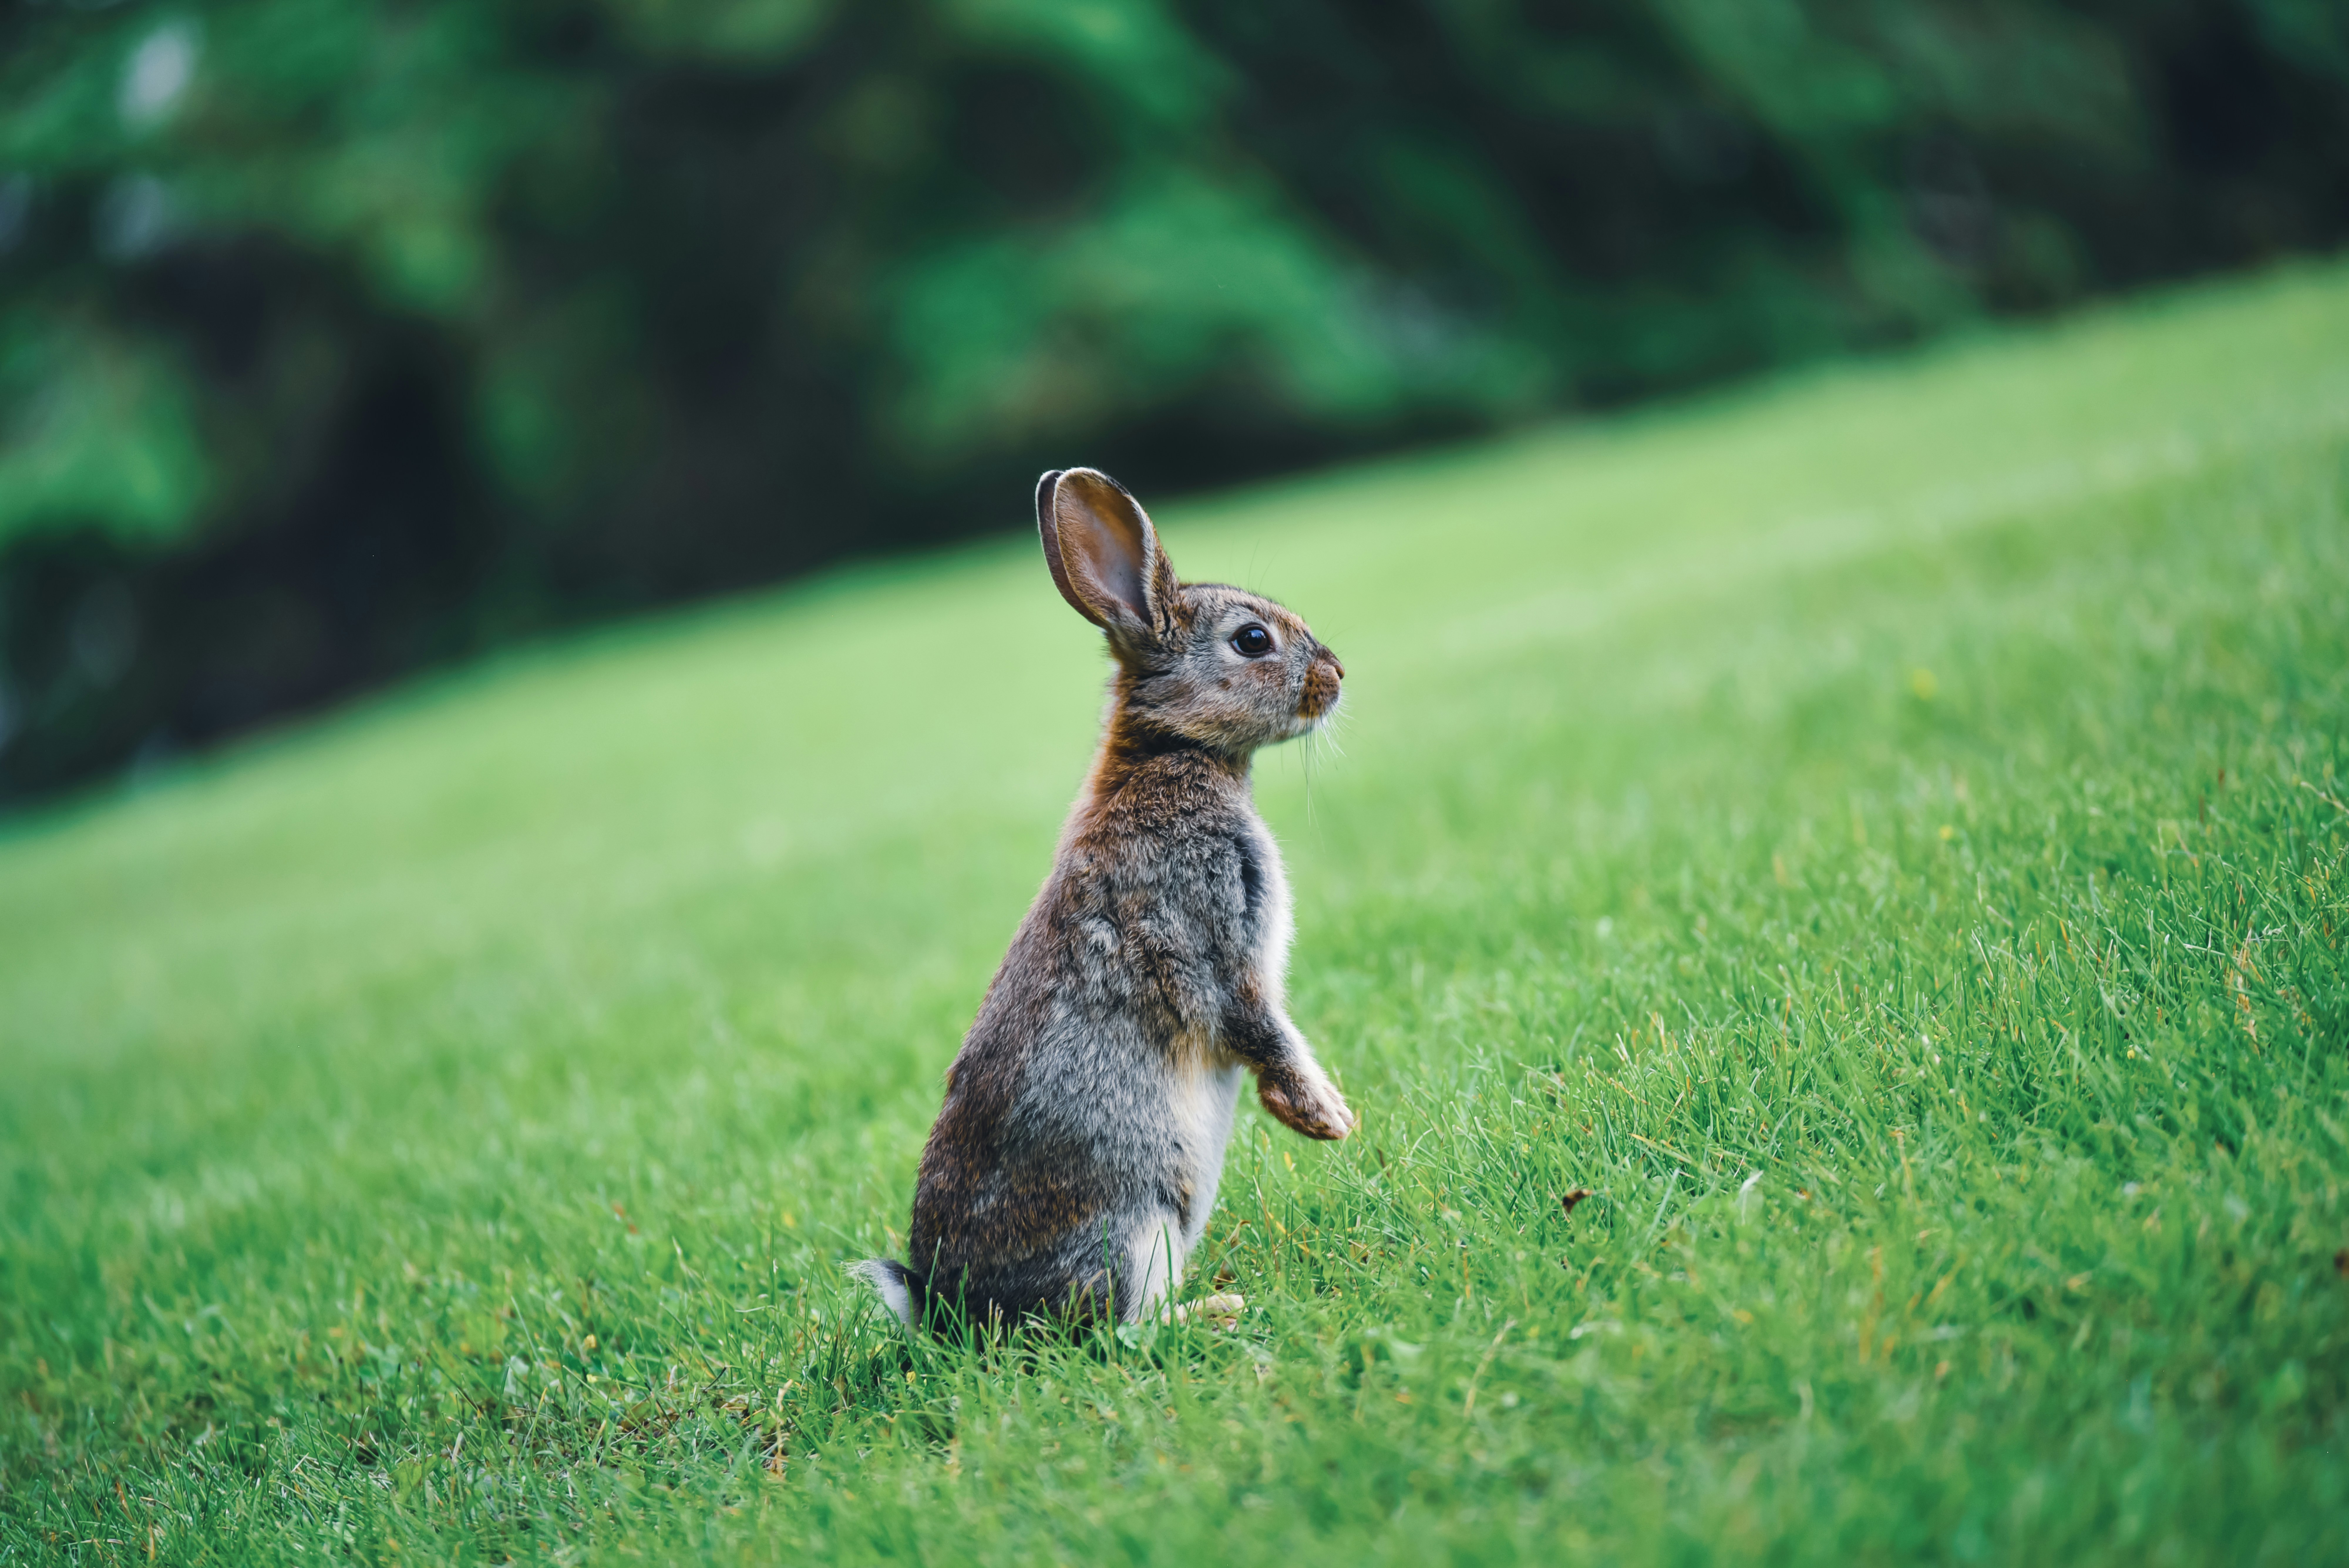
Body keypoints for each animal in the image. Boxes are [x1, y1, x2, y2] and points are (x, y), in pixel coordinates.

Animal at [856, 467, 1355, 1331]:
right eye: (1252, 640)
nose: (1336, 675)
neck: (1171, 752)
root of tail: (957, 1311)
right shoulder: (1213, 928)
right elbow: (1261, 1025)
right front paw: (1326, 1116)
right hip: (1135, 1223)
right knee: (1121, 1332)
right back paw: (1219, 1309)